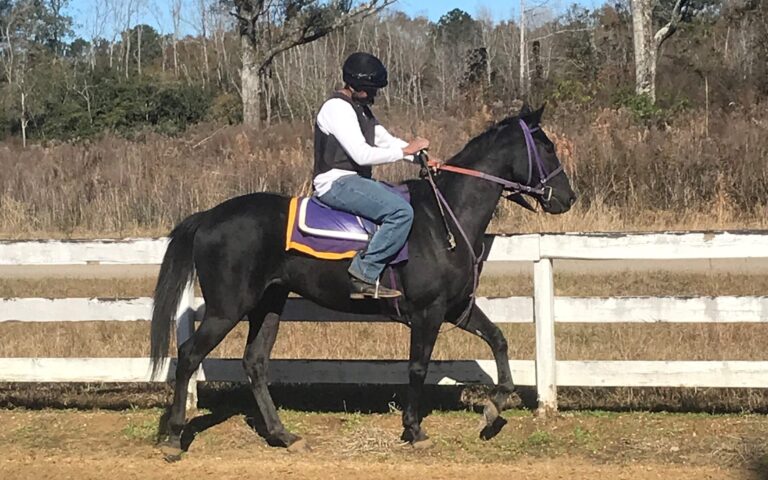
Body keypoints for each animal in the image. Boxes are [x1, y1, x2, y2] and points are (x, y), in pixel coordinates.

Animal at [150, 105, 576, 460]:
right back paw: (174, 437)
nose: (567, 198)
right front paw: (414, 430)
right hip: (227, 308)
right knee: (188, 355)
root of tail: (208, 217)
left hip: (268, 303)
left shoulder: (455, 308)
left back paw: (283, 435)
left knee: (254, 363)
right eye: (547, 147)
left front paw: (493, 407)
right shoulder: (428, 312)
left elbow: (499, 340)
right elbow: (418, 367)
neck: (443, 219)